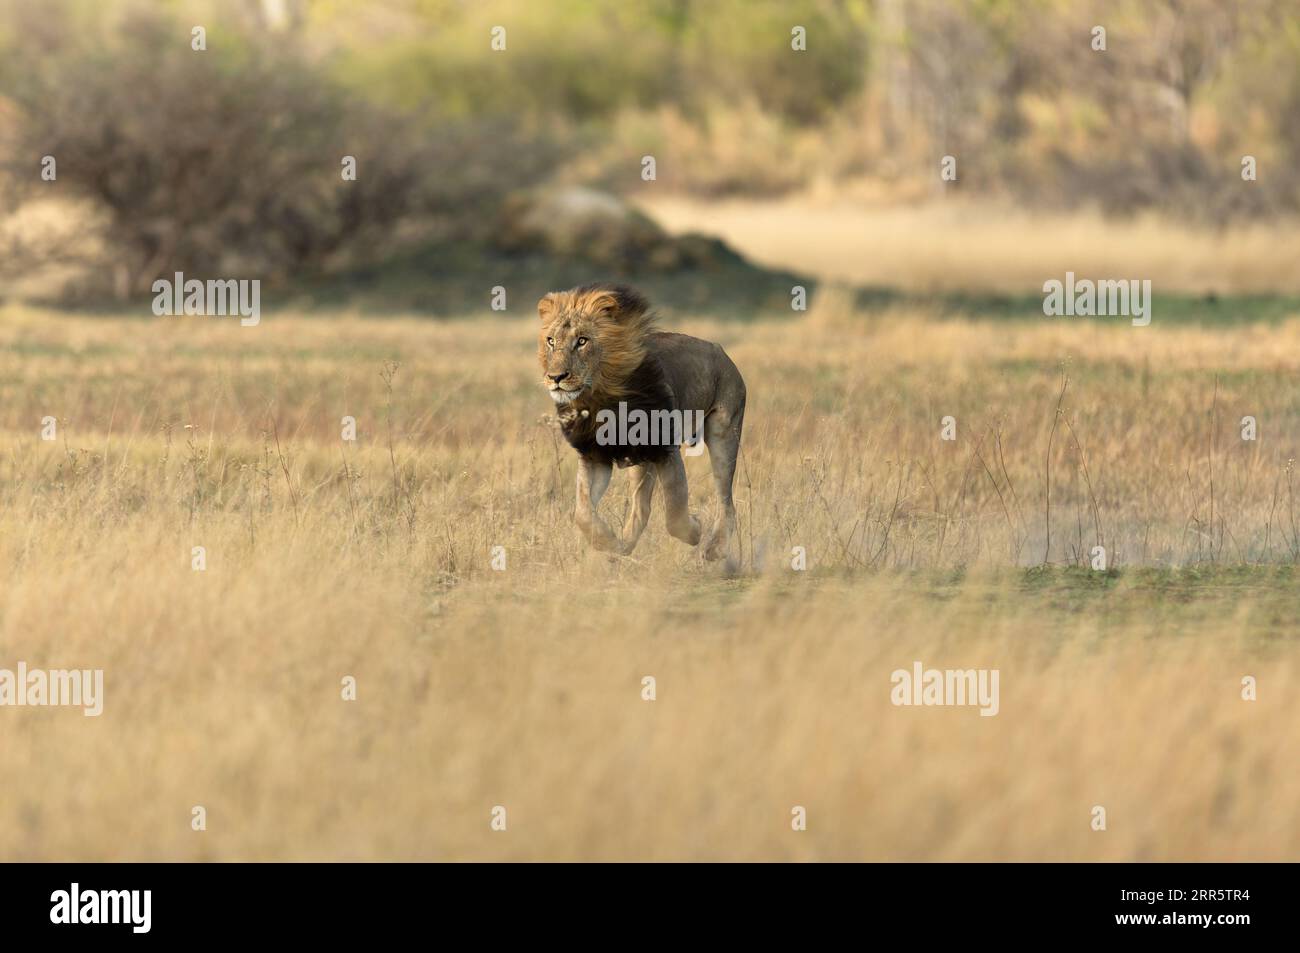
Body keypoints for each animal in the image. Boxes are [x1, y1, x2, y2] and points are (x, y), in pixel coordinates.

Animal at [538, 283, 746, 563]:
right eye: (551, 341)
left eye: (582, 341)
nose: (556, 377)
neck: (601, 398)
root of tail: (720, 349)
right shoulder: (595, 456)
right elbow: (582, 513)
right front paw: (607, 541)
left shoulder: (665, 449)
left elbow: (675, 511)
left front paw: (694, 530)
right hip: (639, 459)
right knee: (641, 507)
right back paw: (621, 548)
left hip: (724, 433)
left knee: (727, 502)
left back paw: (714, 549)